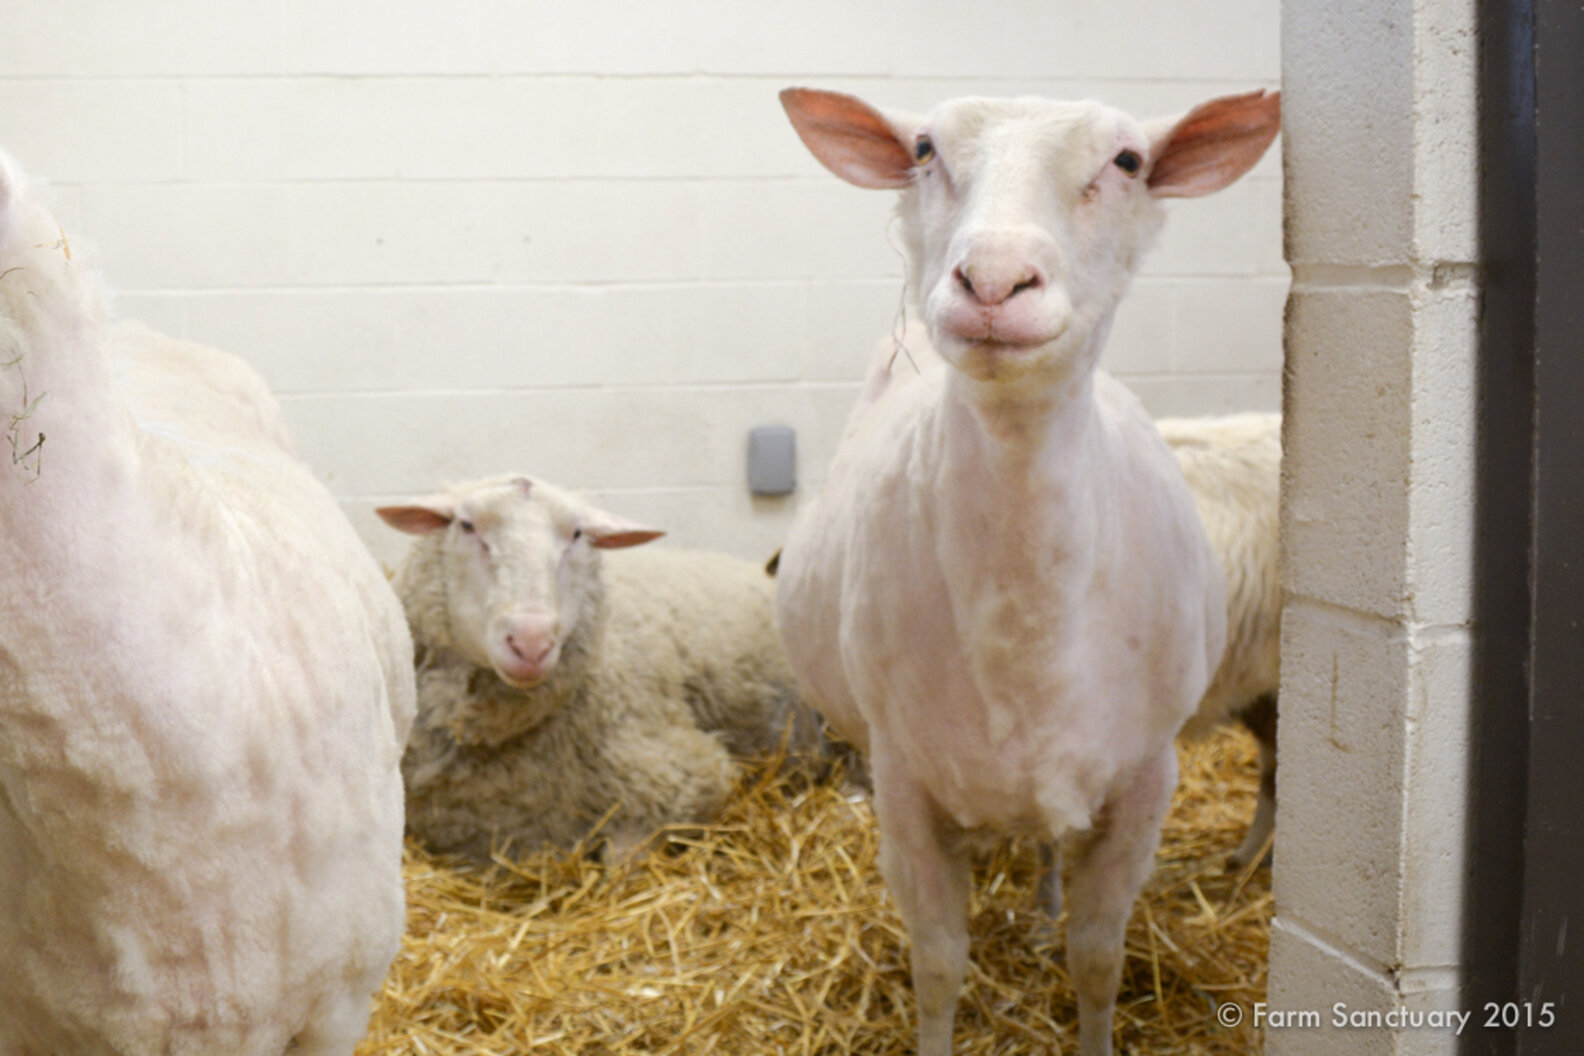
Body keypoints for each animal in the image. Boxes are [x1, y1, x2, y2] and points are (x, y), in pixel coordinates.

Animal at [772, 87, 1279, 1056]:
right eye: (924, 150)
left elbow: (1099, 958)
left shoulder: (1147, 775)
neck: (1024, 627)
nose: (993, 283)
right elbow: (938, 965)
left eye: (1127, 161)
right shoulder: (902, 782)